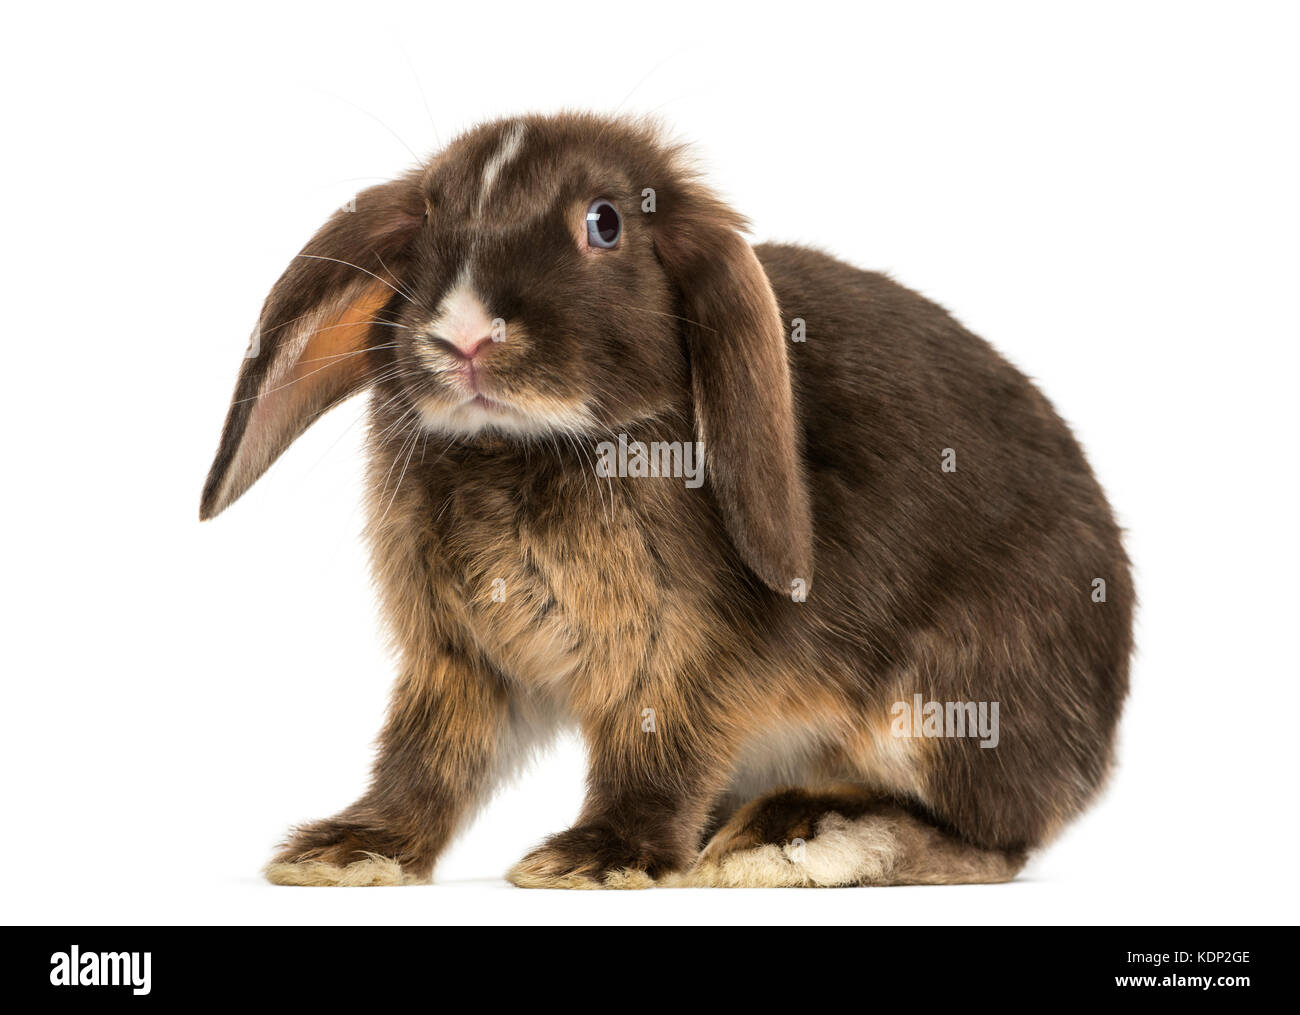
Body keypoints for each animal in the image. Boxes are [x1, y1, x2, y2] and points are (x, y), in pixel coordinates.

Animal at [200, 112, 1132, 888]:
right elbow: (429, 757)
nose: (462, 334)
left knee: (985, 840)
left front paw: (593, 858)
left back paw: (793, 835)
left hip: (951, 707)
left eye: (606, 222)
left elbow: (657, 754)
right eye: (428, 220)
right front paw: (345, 850)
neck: (523, 445)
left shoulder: (682, 659)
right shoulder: (460, 659)